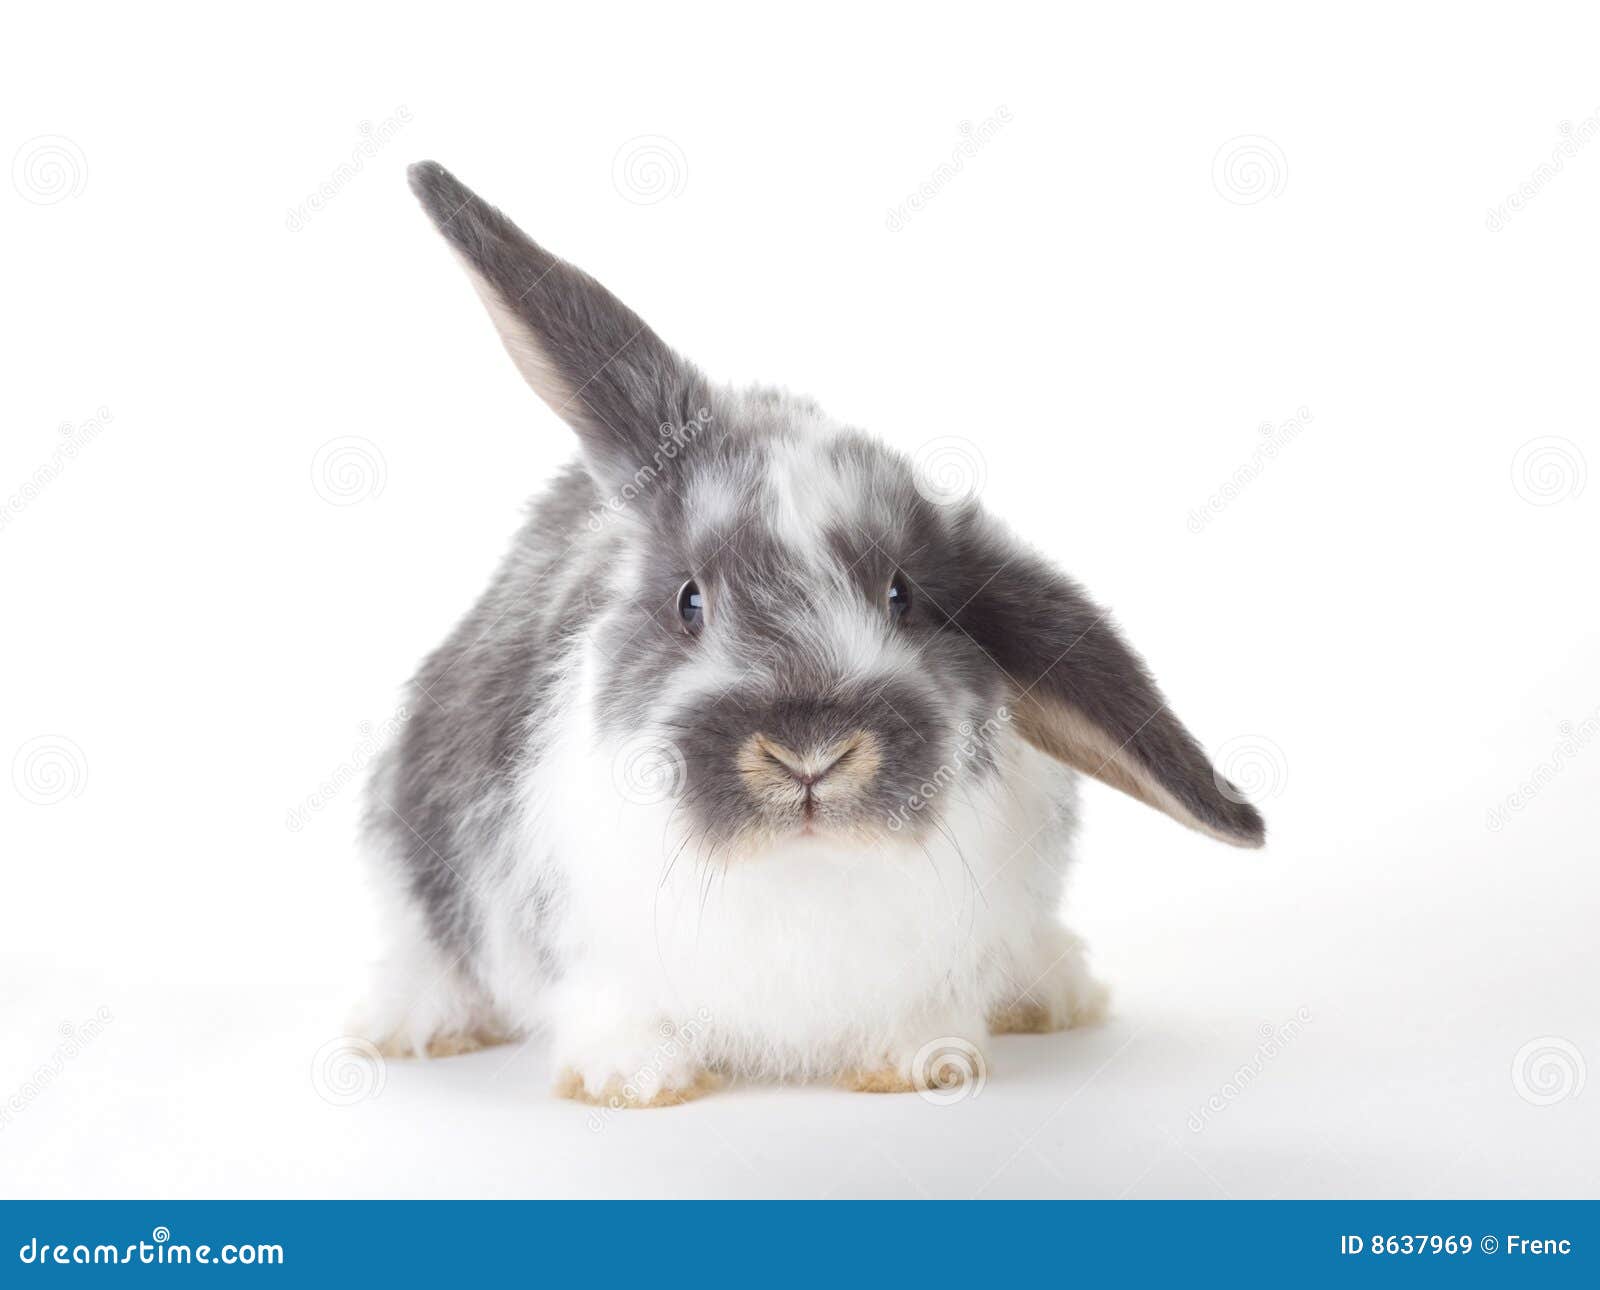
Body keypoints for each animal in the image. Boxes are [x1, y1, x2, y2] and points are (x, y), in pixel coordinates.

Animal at [354, 161, 1265, 1107]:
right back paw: (414, 1025)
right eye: (689, 601)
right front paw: (636, 1079)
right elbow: (611, 1008)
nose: (810, 755)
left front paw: (919, 1064)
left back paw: (1052, 995)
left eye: (903, 596)